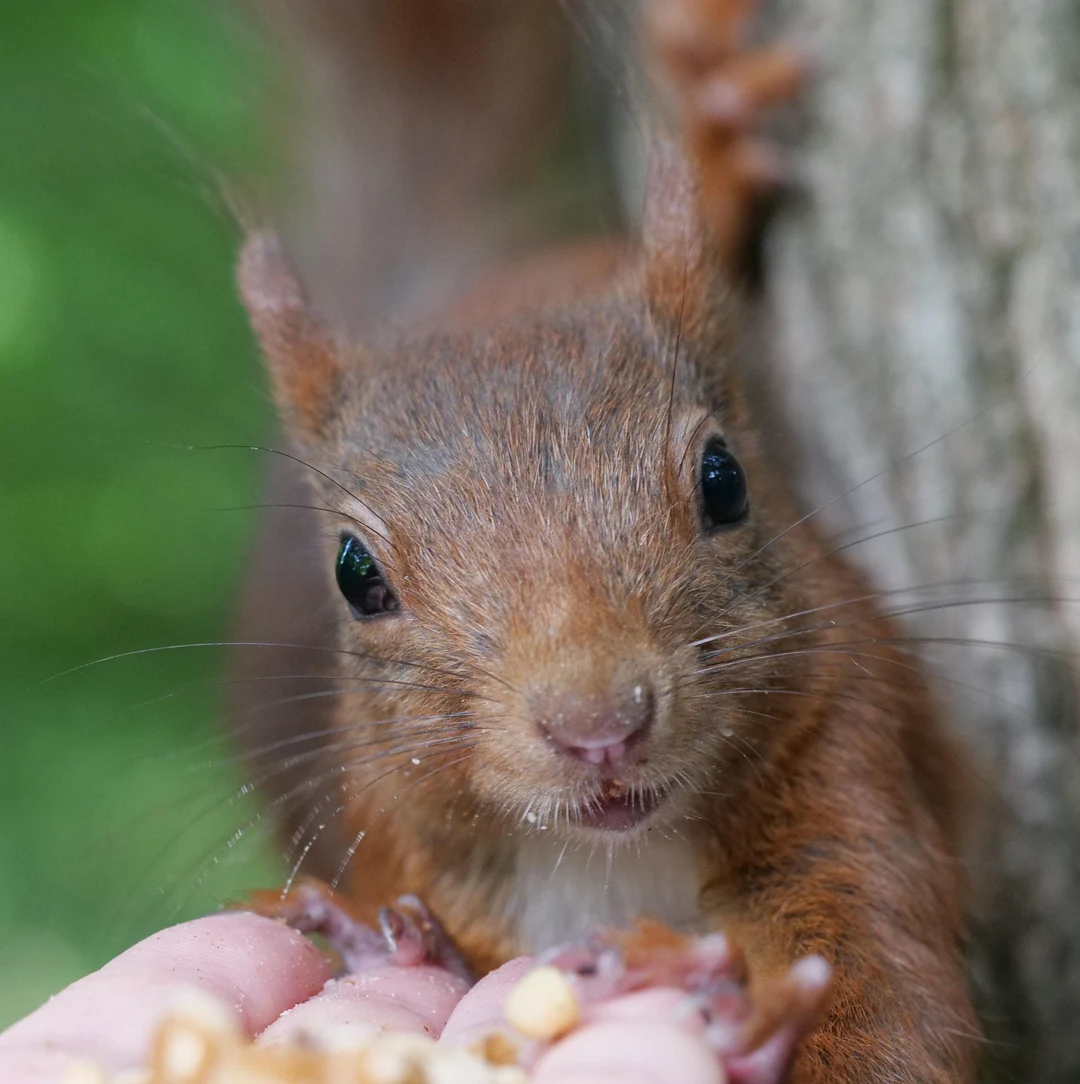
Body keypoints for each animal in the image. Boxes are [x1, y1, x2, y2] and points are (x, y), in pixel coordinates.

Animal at [231, 0, 980, 1080]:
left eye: (725, 481)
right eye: (354, 573)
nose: (600, 728)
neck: (611, 855)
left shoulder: (850, 750)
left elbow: (890, 1000)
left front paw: (754, 1025)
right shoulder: (398, 837)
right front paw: (390, 942)